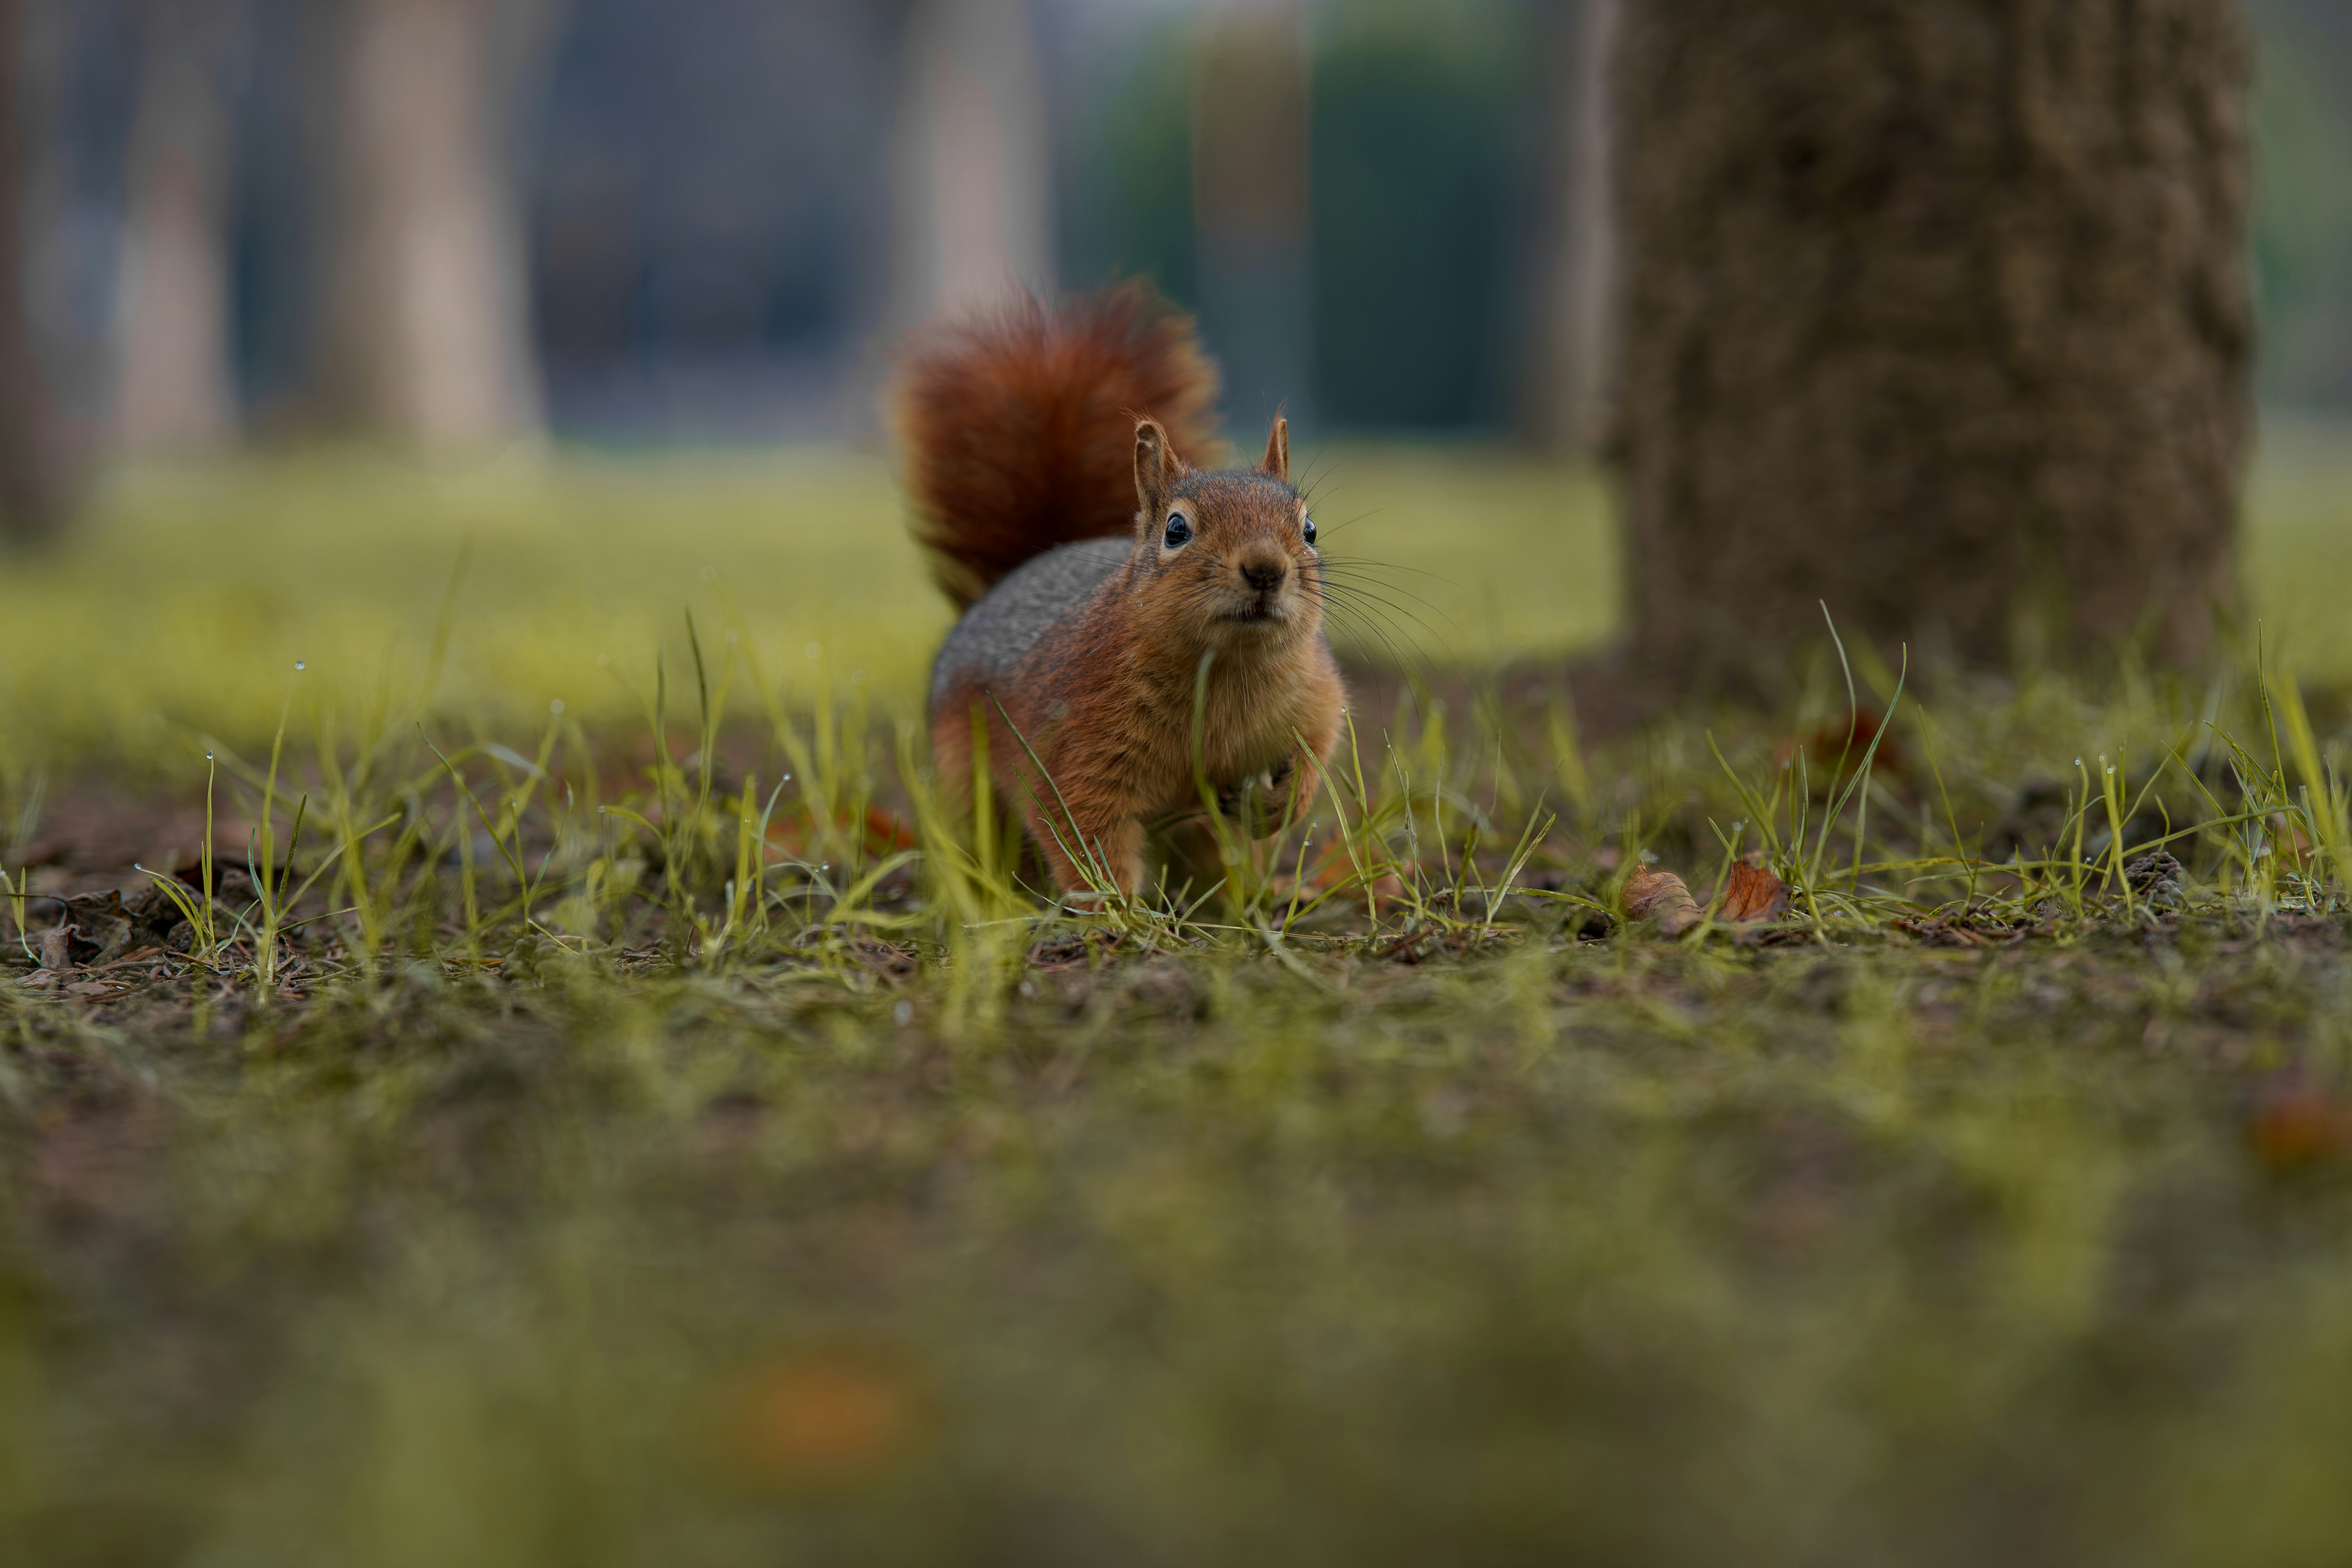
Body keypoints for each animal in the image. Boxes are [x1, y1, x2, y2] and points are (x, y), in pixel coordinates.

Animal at [890, 282, 1346, 901]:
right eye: (1176, 530)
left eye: (1310, 529)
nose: (1265, 570)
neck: (1226, 669)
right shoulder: (1078, 747)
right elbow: (1085, 830)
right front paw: (1119, 910)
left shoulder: (1313, 698)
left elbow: (1316, 752)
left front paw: (1279, 803)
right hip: (968, 778)